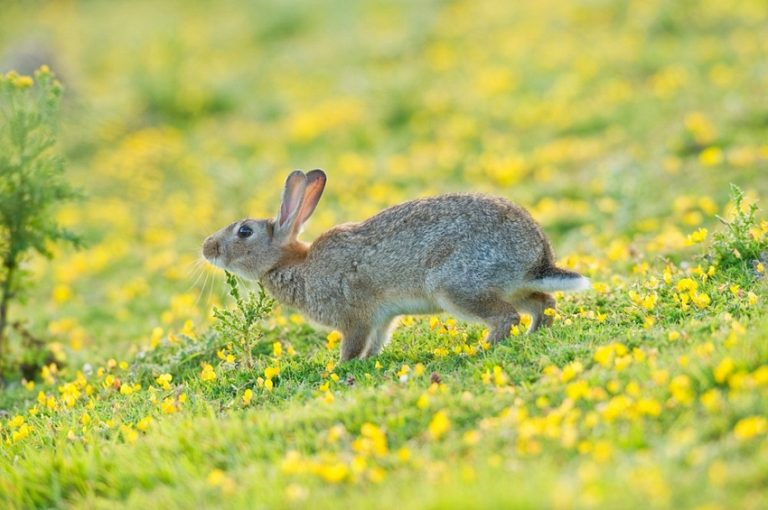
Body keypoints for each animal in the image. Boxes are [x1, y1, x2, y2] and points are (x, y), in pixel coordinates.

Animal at [202, 169, 589, 361]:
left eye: (244, 231)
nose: (207, 248)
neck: (298, 263)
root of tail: (537, 255)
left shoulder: (354, 317)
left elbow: (354, 344)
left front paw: (342, 367)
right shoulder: (382, 318)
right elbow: (377, 340)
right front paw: (368, 362)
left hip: (456, 285)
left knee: (506, 316)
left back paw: (483, 348)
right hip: (515, 285)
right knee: (543, 303)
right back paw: (535, 334)